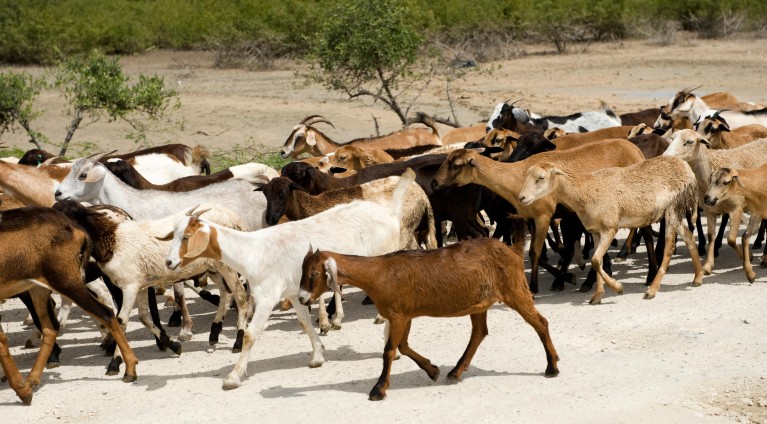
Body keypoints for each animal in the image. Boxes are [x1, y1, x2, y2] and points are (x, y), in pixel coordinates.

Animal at [0, 207, 138, 404]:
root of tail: (73, 228)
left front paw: (21, 391)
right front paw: (22, 389)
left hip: (66, 282)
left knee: (106, 313)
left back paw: (129, 368)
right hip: (39, 288)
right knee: (51, 327)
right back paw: (32, 380)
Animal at [162, 170, 416, 390]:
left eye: (187, 236)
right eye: (173, 234)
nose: (169, 262)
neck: (252, 250)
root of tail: (389, 213)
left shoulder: (267, 297)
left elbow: (250, 335)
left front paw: (233, 377)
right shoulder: (294, 293)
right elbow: (304, 322)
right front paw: (317, 355)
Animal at [297, 236, 559, 401]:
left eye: (313, 274)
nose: (301, 298)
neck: (378, 274)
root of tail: (513, 250)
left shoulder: (398, 314)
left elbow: (389, 351)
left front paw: (378, 390)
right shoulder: (405, 314)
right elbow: (403, 346)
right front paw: (432, 370)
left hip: (515, 289)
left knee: (540, 323)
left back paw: (552, 366)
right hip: (480, 301)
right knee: (479, 332)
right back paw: (455, 372)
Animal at [518, 156, 703, 304]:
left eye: (541, 177)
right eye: (527, 176)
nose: (522, 197)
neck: (582, 190)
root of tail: (685, 168)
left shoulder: (609, 228)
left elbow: (594, 260)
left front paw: (618, 287)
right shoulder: (595, 231)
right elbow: (597, 261)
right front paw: (598, 295)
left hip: (674, 208)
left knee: (669, 249)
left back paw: (652, 290)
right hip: (673, 213)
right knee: (689, 236)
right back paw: (698, 277)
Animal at [662, 130, 767, 273]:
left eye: (689, 141)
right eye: (672, 138)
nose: (665, 157)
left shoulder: (736, 208)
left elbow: (731, 240)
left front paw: (748, 256)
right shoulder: (709, 211)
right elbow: (711, 236)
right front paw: (708, 265)